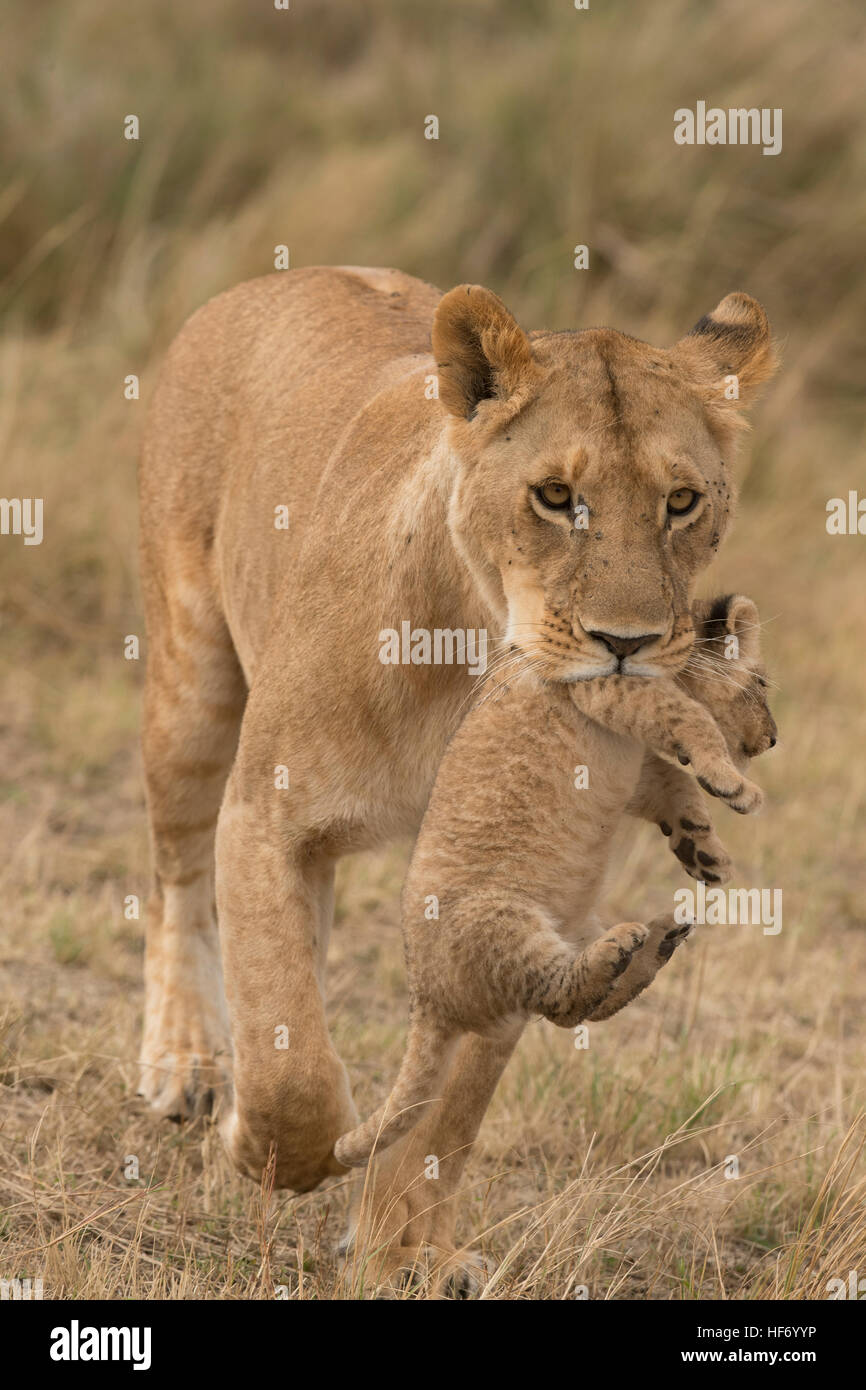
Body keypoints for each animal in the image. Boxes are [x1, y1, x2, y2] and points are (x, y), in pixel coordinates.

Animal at [334, 592, 777, 1171]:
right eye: (763, 683)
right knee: (560, 1002)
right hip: (501, 921)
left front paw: (706, 854)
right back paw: (622, 951)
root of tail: (425, 1001)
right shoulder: (602, 685)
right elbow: (691, 719)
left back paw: (656, 943)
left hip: (575, 923)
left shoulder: (636, 763)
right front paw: (736, 788)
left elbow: (674, 785)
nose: (774, 739)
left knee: (589, 1006)